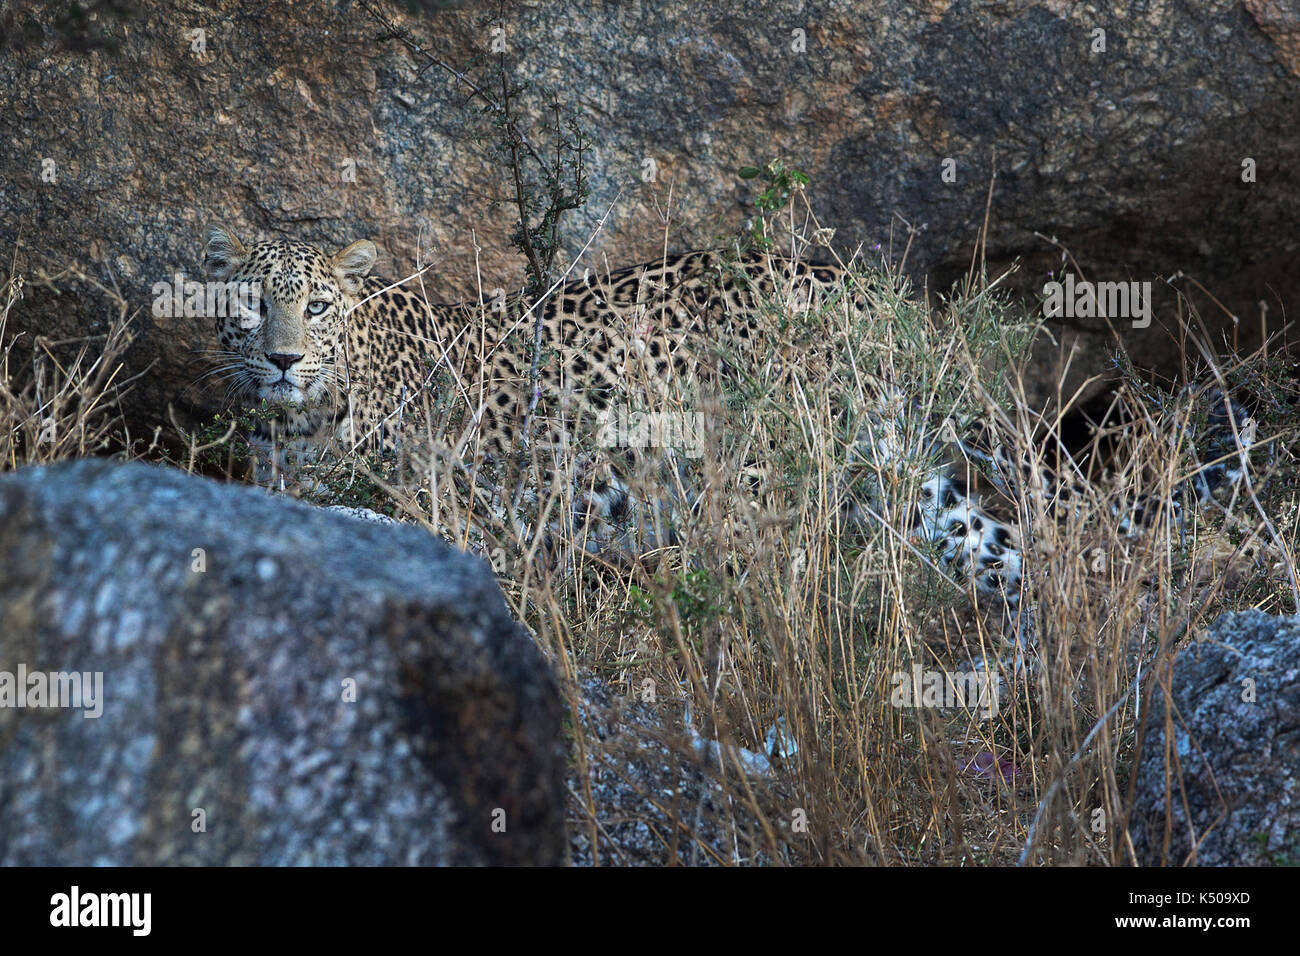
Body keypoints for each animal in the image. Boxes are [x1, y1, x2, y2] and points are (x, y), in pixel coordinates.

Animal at [199, 223, 1263, 632]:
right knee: (1022, 556)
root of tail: (872, 296)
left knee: (787, 577)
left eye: (317, 308)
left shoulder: (435, 508)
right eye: (252, 306)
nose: (282, 359)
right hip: (914, 496)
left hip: (755, 473)